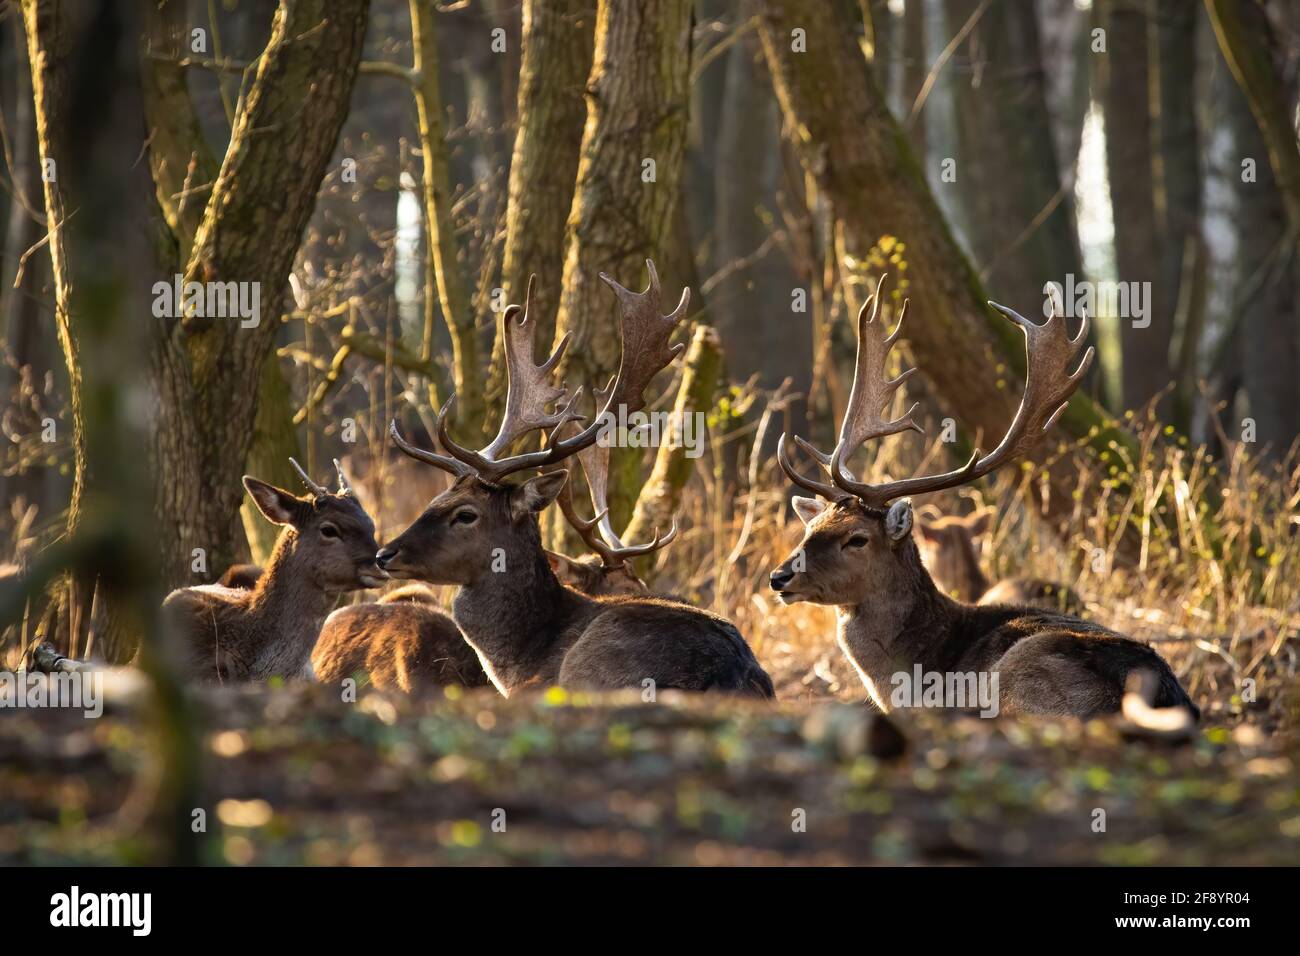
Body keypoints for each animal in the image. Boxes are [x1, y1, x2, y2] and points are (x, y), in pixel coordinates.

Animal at [376, 263, 774, 699]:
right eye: (433, 501)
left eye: (465, 514)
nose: (384, 554)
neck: (520, 658)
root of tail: (734, 675)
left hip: (590, 665)